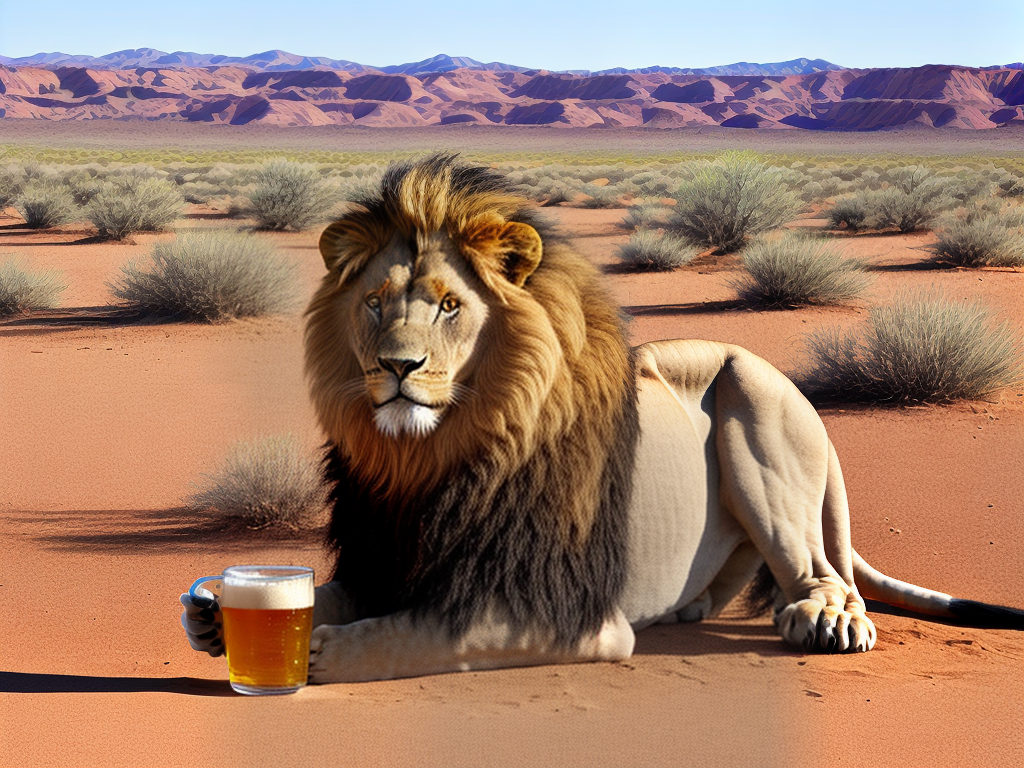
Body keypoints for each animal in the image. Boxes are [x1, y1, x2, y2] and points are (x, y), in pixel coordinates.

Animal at [182, 154, 1023, 682]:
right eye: (374, 304)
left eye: (451, 306)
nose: (398, 367)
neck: (433, 458)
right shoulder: (383, 561)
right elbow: (329, 597)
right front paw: (215, 613)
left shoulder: (556, 611)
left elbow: (402, 633)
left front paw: (312, 653)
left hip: (756, 408)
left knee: (829, 577)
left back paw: (824, 620)